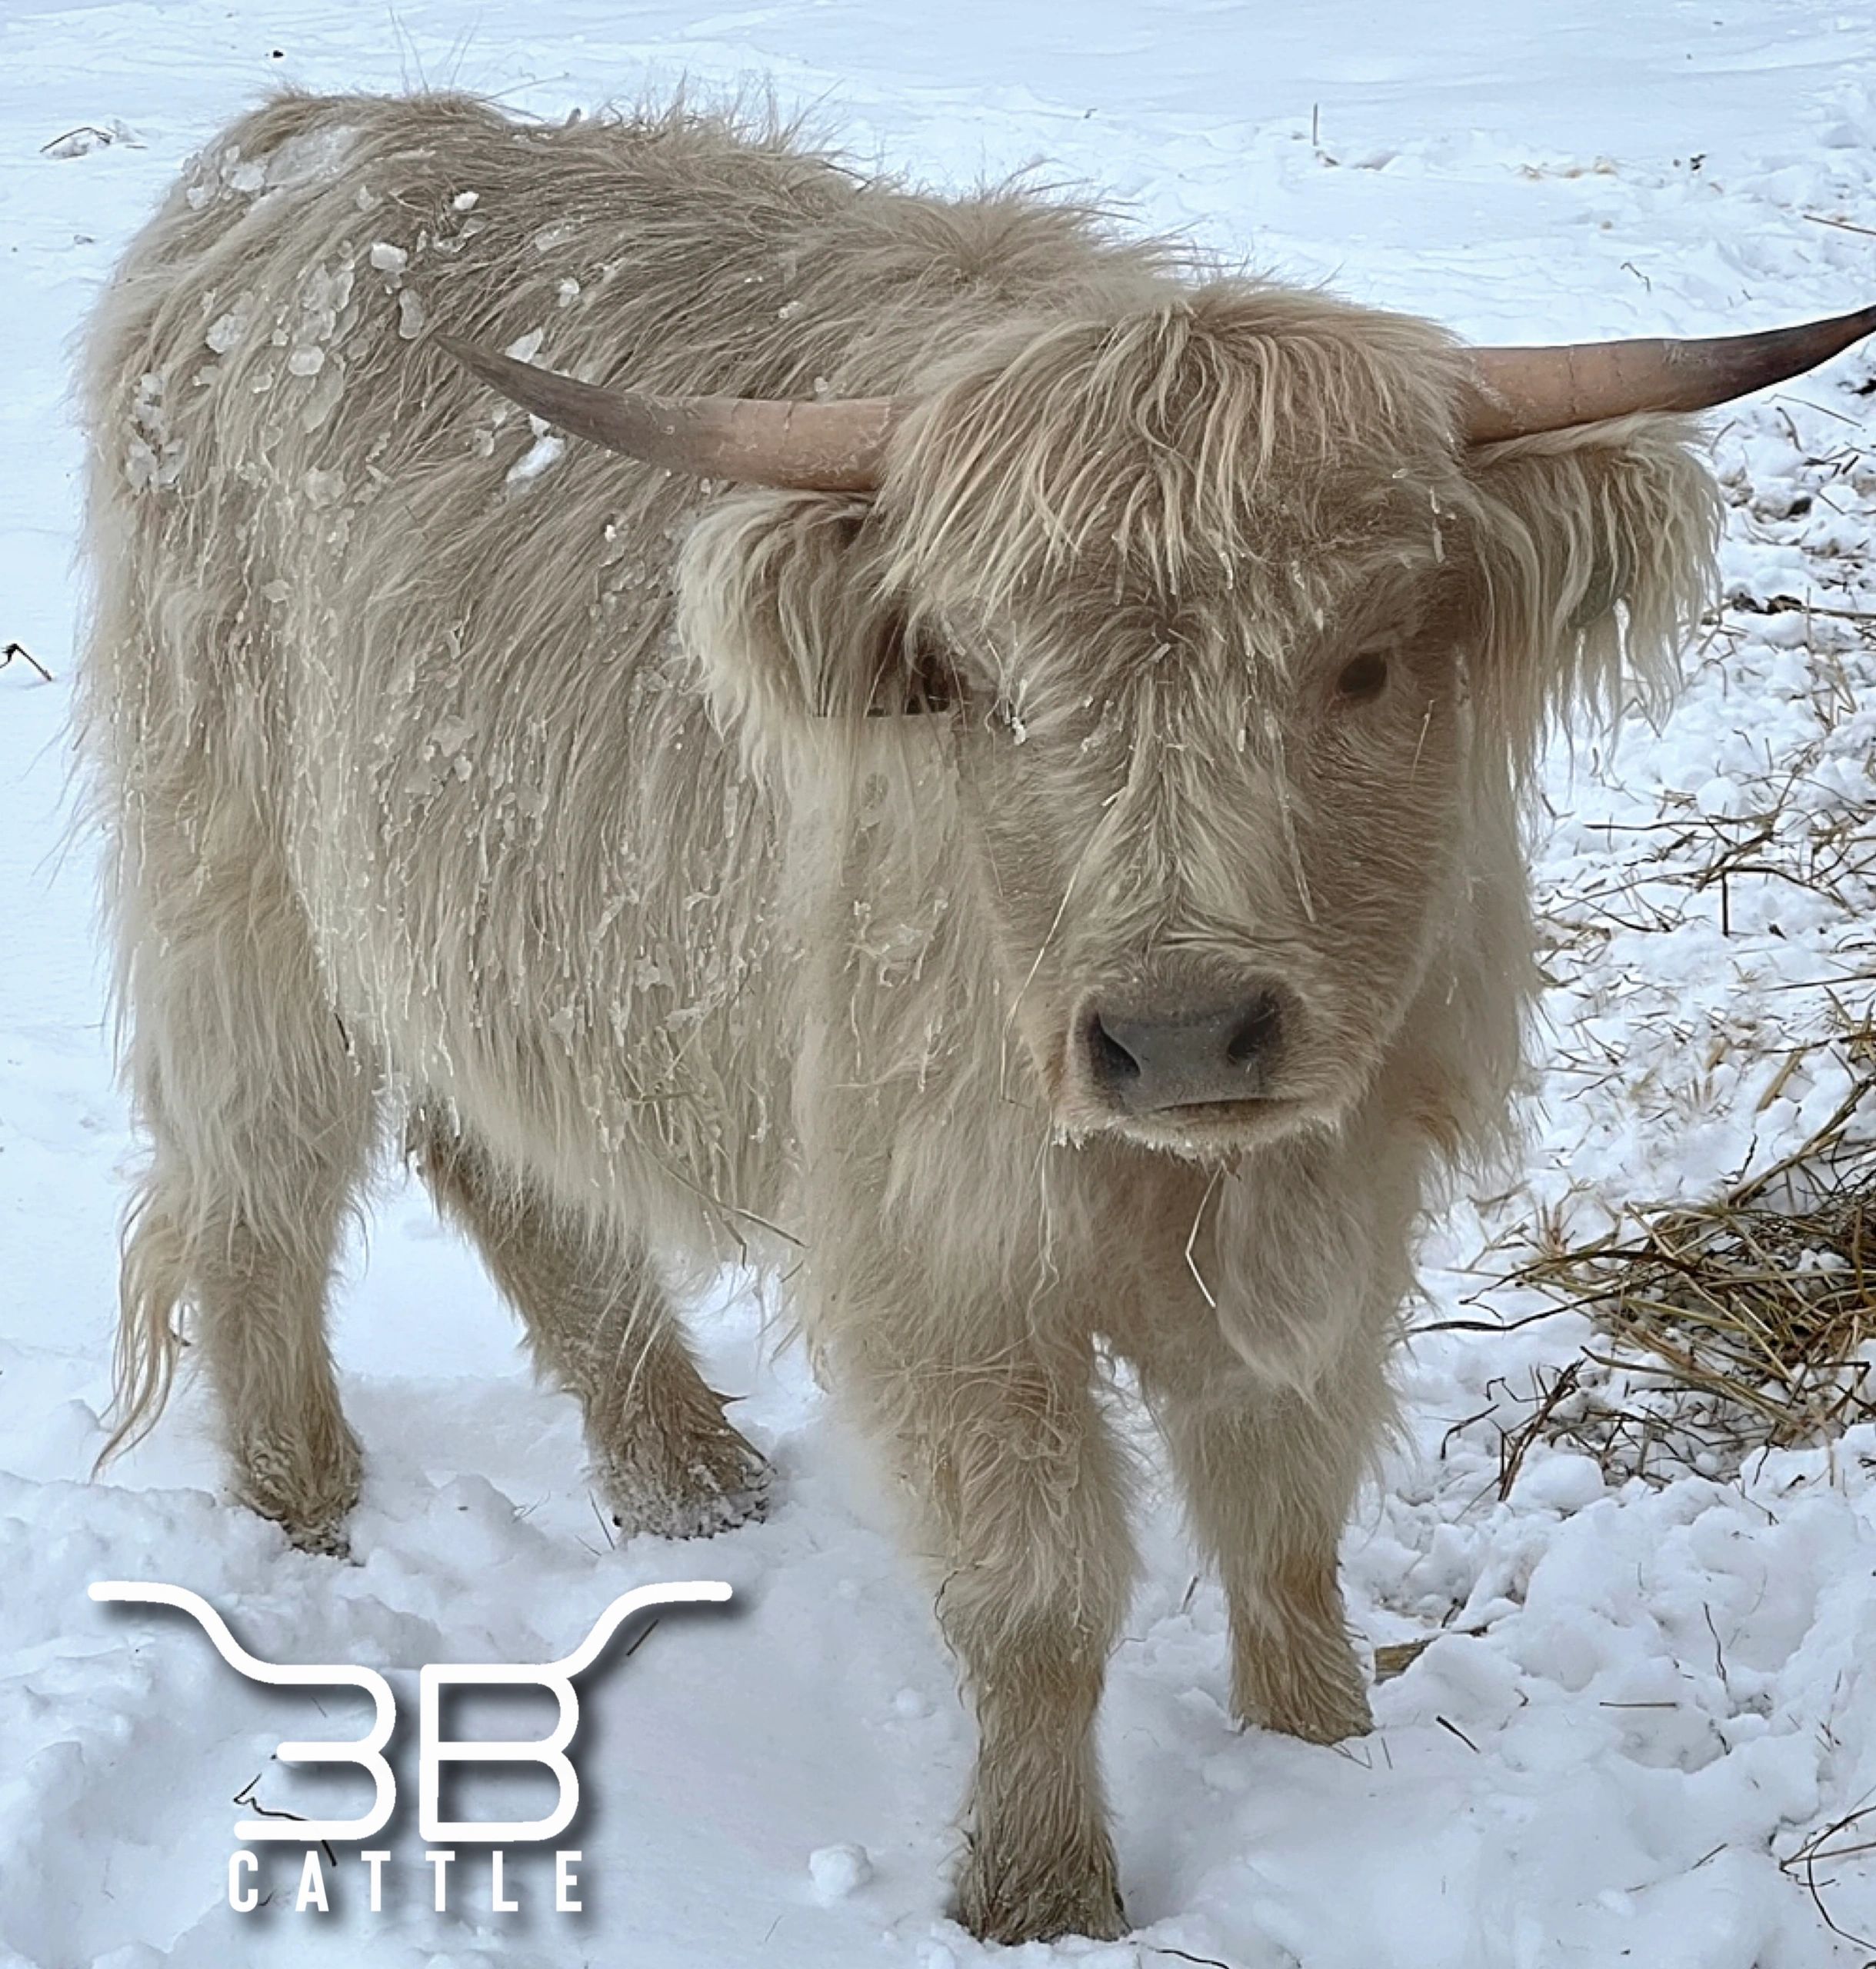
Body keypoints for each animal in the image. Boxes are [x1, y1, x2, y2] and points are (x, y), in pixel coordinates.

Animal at [77, 88, 1873, 1944]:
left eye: (1365, 659)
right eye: (979, 688)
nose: (1179, 1034)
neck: (1184, 1180)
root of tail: (318, 126)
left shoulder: (1341, 1188)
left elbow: (1282, 1502)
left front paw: (1325, 1747)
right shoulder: (941, 1250)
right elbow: (1037, 1591)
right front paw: (1042, 1891)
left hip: (482, 935)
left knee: (491, 1152)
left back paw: (678, 1469)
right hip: (238, 875)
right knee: (254, 1176)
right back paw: (301, 1496)